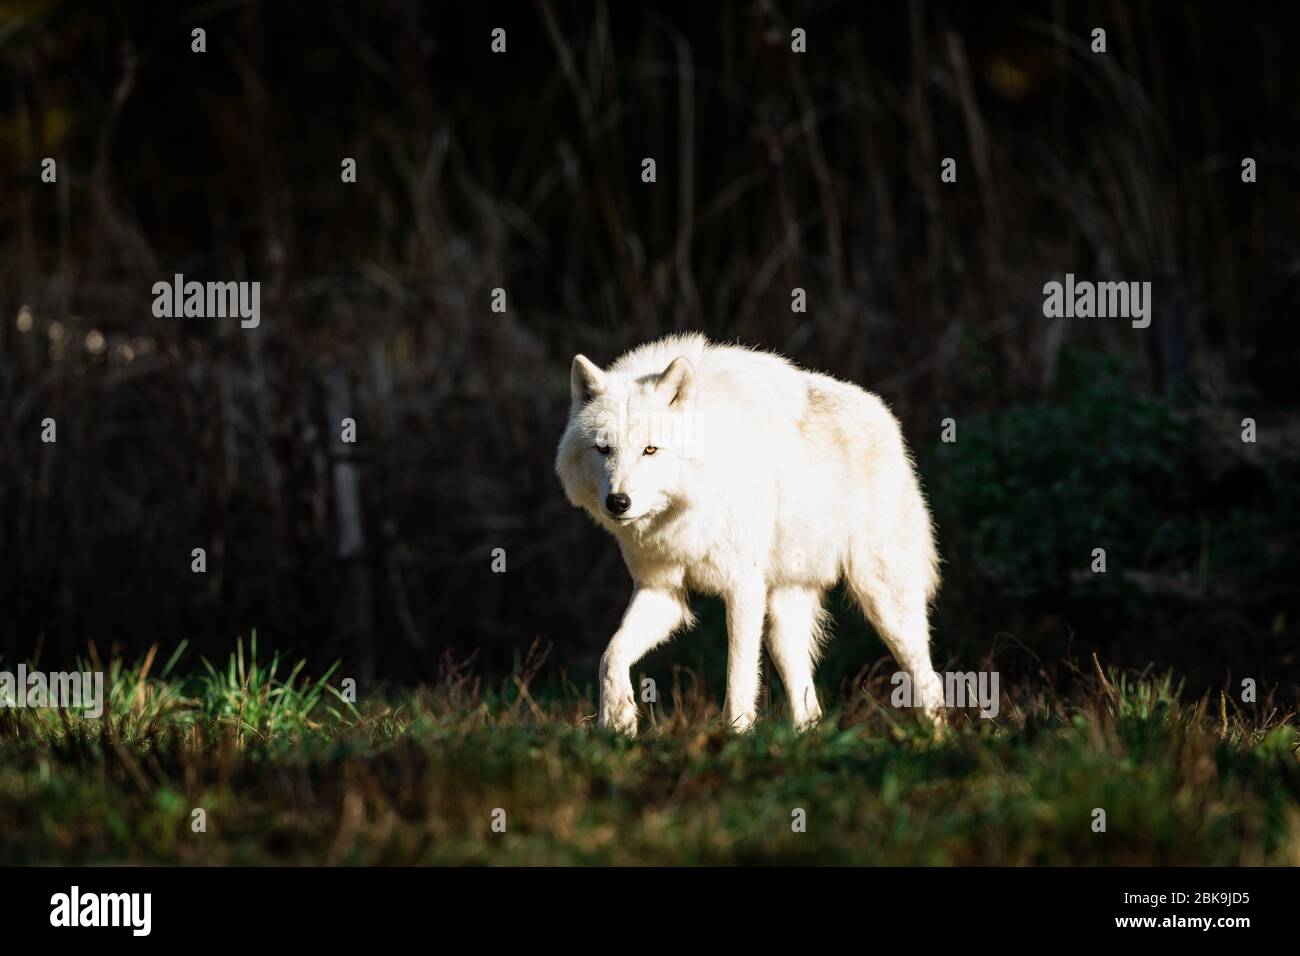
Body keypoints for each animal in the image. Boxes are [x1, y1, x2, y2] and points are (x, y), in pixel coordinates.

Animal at [555, 333, 944, 734]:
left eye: (650, 449)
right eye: (603, 448)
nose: (618, 502)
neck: (688, 506)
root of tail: (889, 421)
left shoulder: (743, 588)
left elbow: (739, 676)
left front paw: (736, 734)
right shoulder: (662, 592)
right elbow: (610, 656)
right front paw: (618, 721)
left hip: (883, 600)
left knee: (929, 678)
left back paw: (934, 739)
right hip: (783, 623)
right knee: (810, 705)